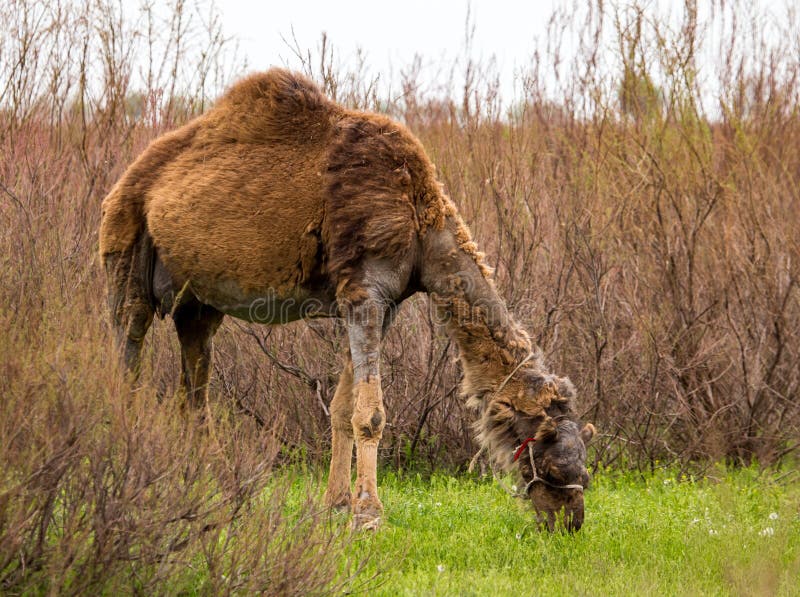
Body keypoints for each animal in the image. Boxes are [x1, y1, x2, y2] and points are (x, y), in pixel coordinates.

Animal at [99, 68, 596, 532]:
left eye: (585, 472)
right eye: (550, 464)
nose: (569, 521)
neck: (421, 223)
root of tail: (122, 183)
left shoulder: (379, 301)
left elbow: (341, 408)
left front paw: (335, 504)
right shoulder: (365, 290)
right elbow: (370, 414)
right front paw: (368, 514)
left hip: (197, 302)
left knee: (195, 384)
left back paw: (216, 483)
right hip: (126, 249)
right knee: (129, 349)